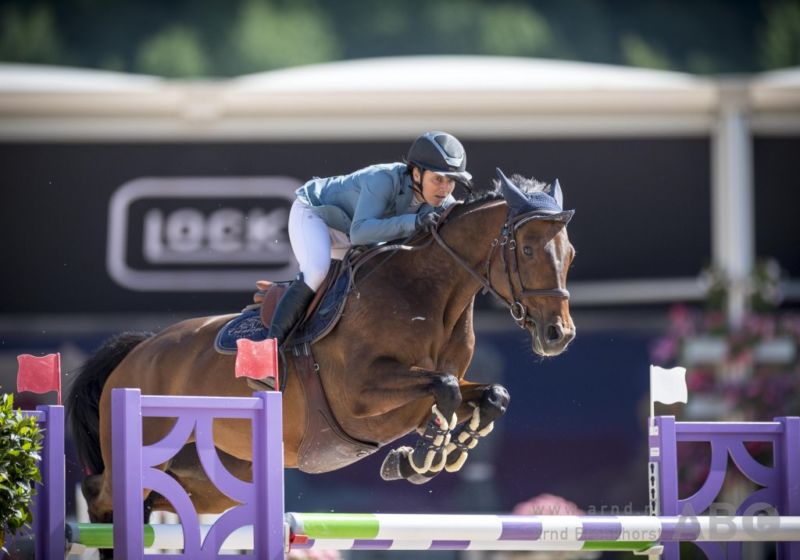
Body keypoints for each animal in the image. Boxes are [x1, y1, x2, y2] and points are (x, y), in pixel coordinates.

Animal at [68, 168, 576, 527]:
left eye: (569, 254)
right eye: (527, 250)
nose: (559, 335)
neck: (428, 295)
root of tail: (138, 352)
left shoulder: (419, 396)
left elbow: (489, 394)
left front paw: (439, 452)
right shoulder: (358, 396)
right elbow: (446, 387)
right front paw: (423, 458)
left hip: (212, 480)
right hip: (145, 451)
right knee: (100, 492)